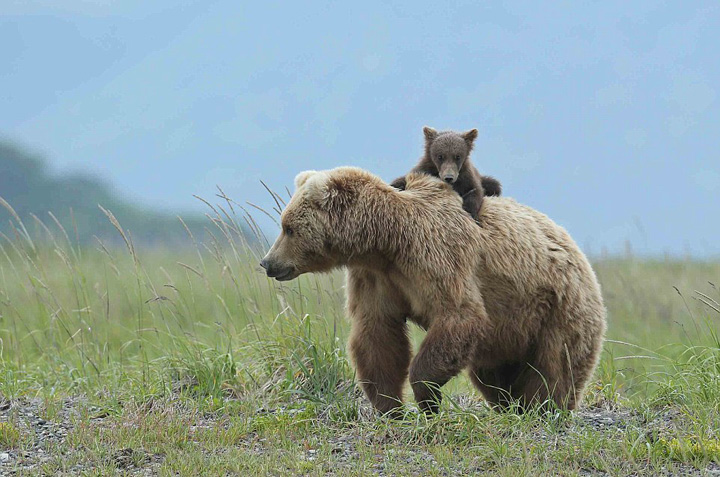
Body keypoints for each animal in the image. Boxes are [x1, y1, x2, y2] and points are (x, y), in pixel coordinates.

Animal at [260, 167, 606, 415]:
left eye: (288, 227)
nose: (268, 262)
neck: (386, 243)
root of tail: (578, 252)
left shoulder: (436, 255)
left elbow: (459, 315)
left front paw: (427, 401)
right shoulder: (377, 277)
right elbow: (377, 334)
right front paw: (390, 407)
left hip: (558, 307)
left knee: (554, 368)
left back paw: (542, 408)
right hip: (508, 332)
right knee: (492, 373)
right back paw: (510, 404)